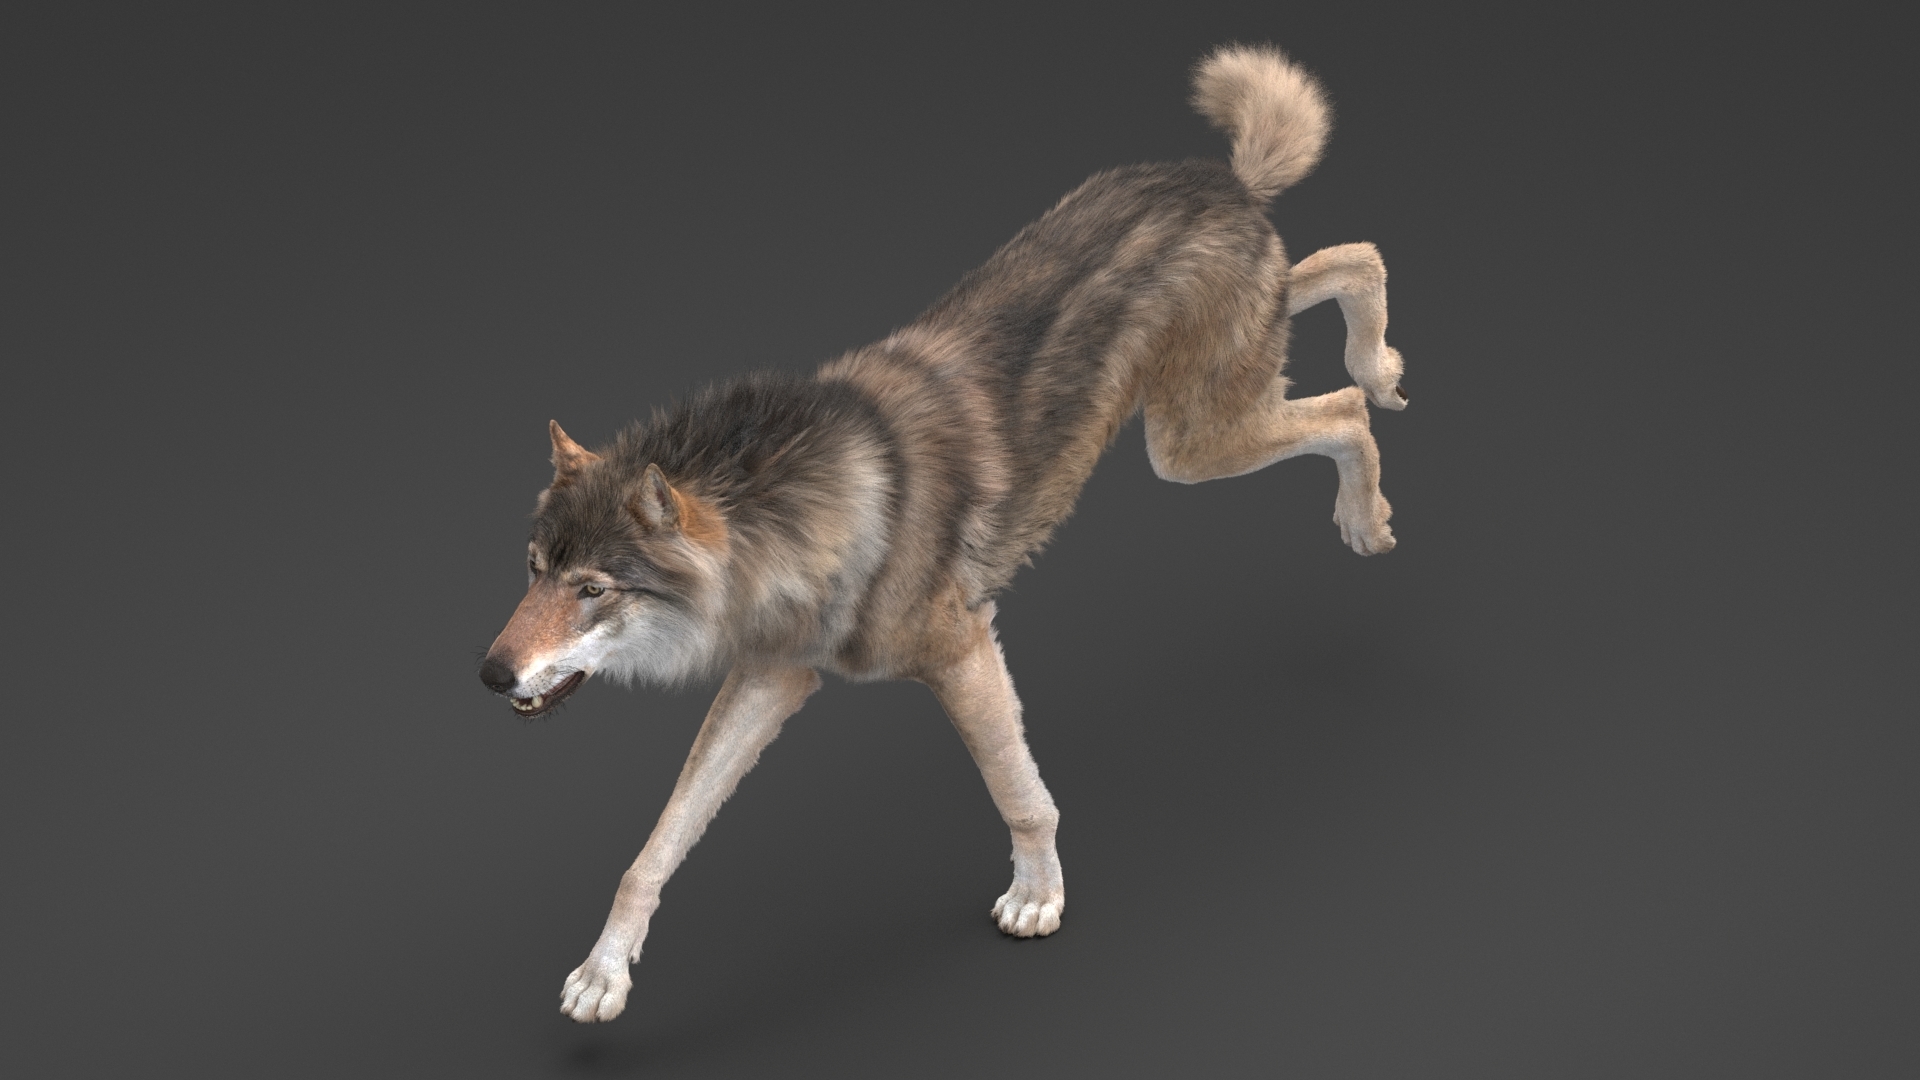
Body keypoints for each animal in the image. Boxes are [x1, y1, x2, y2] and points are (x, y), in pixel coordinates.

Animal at [479, 44, 1408, 1023]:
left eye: (592, 590)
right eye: (533, 570)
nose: (490, 674)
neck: (799, 525)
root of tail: (1225, 179)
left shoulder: (962, 645)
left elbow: (1021, 794)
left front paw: (1038, 896)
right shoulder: (770, 677)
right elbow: (654, 846)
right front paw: (604, 971)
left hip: (1194, 445)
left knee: (1345, 402)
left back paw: (1368, 502)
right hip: (1216, 409)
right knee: (1347, 266)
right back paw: (1381, 372)